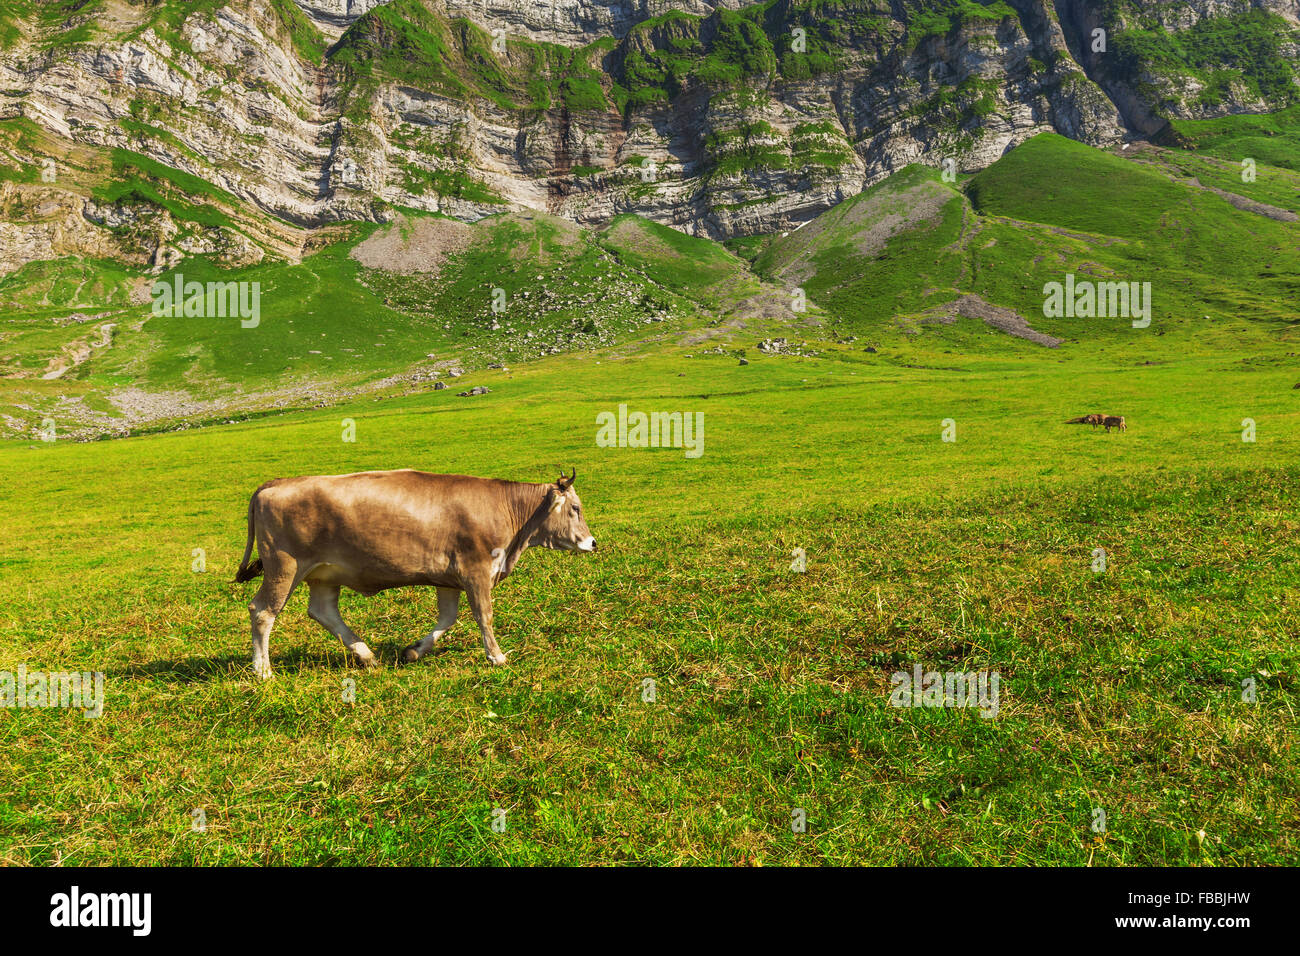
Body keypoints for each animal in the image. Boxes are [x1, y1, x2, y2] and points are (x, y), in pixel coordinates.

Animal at [233, 469, 596, 679]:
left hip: (324, 575)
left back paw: (366, 655)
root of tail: (275, 484)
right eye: (576, 508)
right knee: (263, 612)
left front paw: (415, 650)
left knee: (323, 611)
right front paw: (496, 656)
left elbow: (448, 618)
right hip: (284, 567)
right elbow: (484, 615)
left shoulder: (449, 578)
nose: (593, 542)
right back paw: (263, 671)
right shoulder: (476, 570)